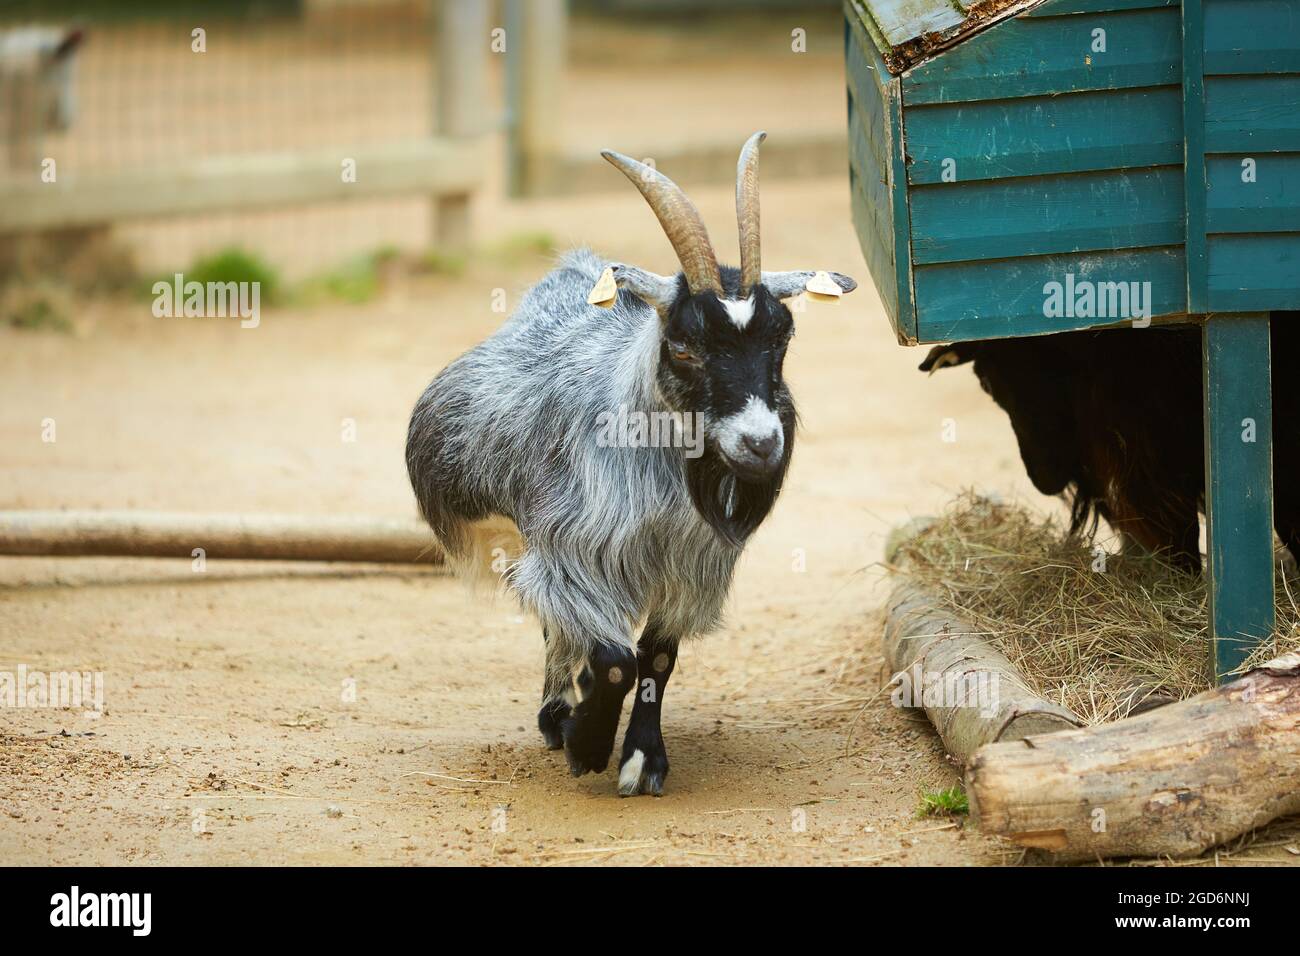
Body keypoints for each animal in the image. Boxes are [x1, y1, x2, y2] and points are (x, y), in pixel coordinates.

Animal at [406, 133, 856, 795]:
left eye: (784, 336)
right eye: (683, 346)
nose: (761, 444)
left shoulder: (689, 562)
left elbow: (657, 658)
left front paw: (643, 758)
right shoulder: (574, 552)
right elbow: (615, 657)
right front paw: (586, 743)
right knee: (562, 628)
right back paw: (558, 713)